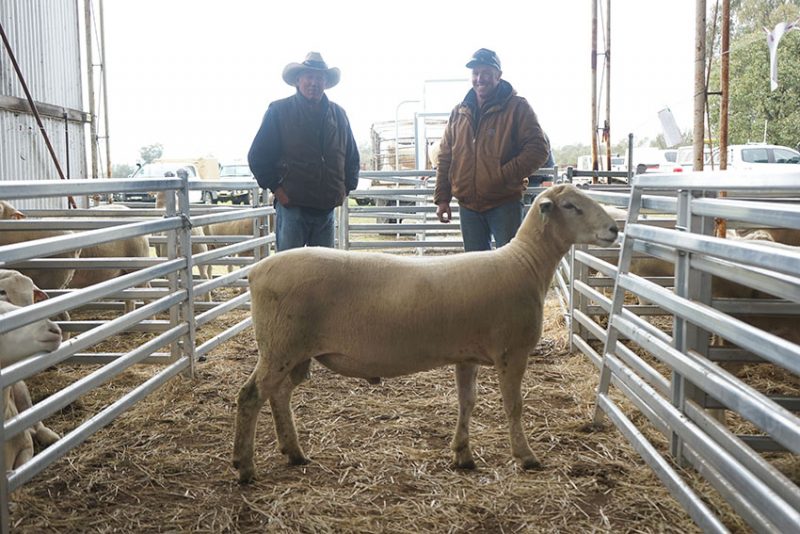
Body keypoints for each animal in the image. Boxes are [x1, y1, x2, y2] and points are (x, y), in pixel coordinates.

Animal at [232, 183, 619, 483]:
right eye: (571, 206)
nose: (615, 230)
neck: (525, 263)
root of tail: (257, 271)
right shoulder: (512, 351)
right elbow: (514, 406)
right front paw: (525, 456)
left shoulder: (467, 354)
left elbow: (467, 401)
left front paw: (463, 455)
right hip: (280, 346)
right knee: (251, 396)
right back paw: (244, 466)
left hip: (292, 352)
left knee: (279, 395)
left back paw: (294, 452)